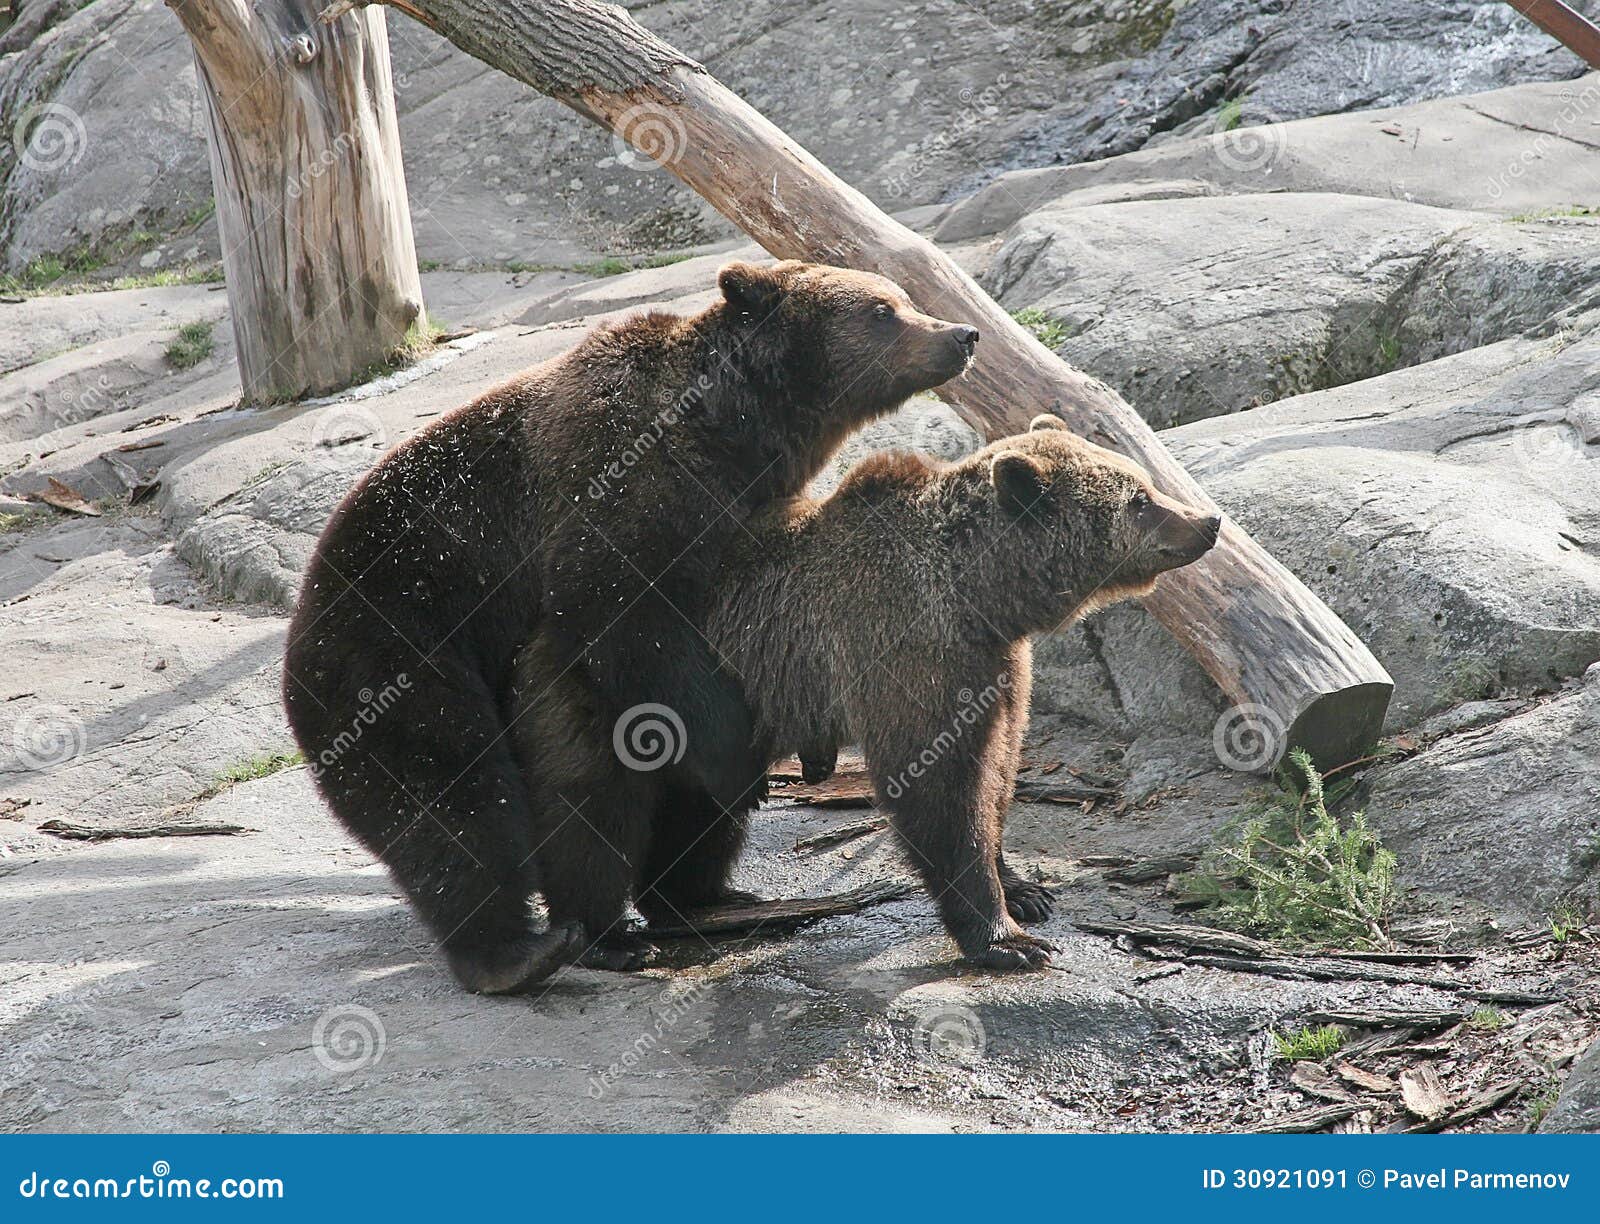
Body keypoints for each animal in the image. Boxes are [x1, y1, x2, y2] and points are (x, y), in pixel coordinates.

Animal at [283, 260, 979, 994]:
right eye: (882, 310)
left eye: (900, 297)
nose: (960, 334)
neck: (731, 434)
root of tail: (303, 613)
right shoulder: (621, 490)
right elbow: (629, 628)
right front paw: (745, 773)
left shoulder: (737, 525)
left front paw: (804, 753)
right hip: (396, 646)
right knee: (456, 797)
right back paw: (530, 949)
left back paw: (707, 897)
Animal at [513, 415, 1220, 969]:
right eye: (1138, 497)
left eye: (1138, 478)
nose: (1206, 521)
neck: (975, 593)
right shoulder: (900, 646)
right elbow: (936, 788)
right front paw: (1005, 938)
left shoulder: (993, 666)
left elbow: (995, 771)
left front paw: (1024, 888)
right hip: (623, 687)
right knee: (593, 807)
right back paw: (609, 936)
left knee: (702, 805)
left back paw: (701, 895)